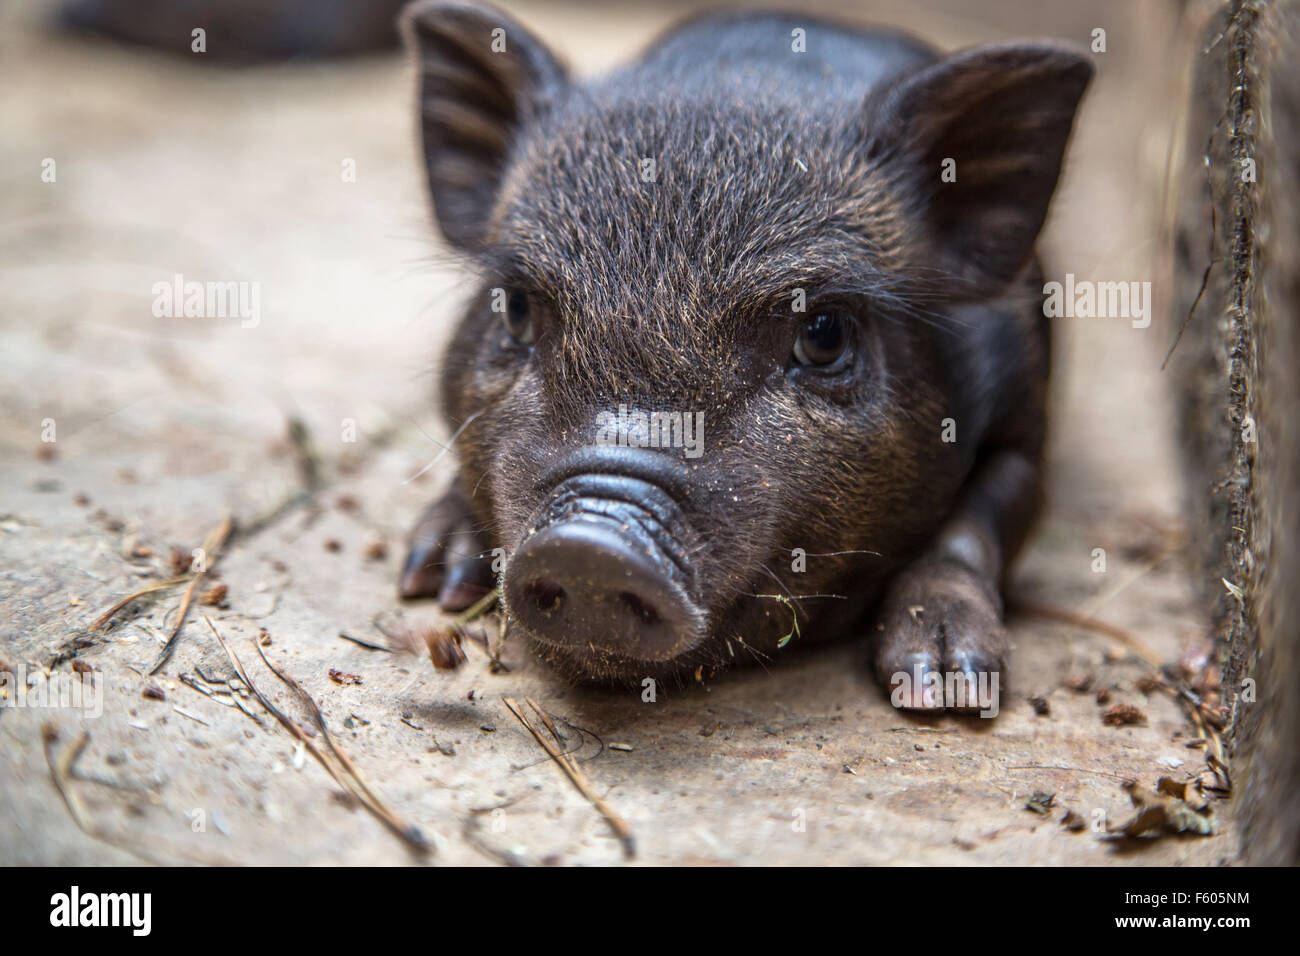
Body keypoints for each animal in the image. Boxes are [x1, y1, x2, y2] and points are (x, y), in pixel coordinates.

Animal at [397, 1, 1091, 710]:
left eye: (824, 333)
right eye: (514, 308)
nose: (590, 547)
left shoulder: (1026, 419)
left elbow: (978, 521)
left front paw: (945, 685)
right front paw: (428, 580)